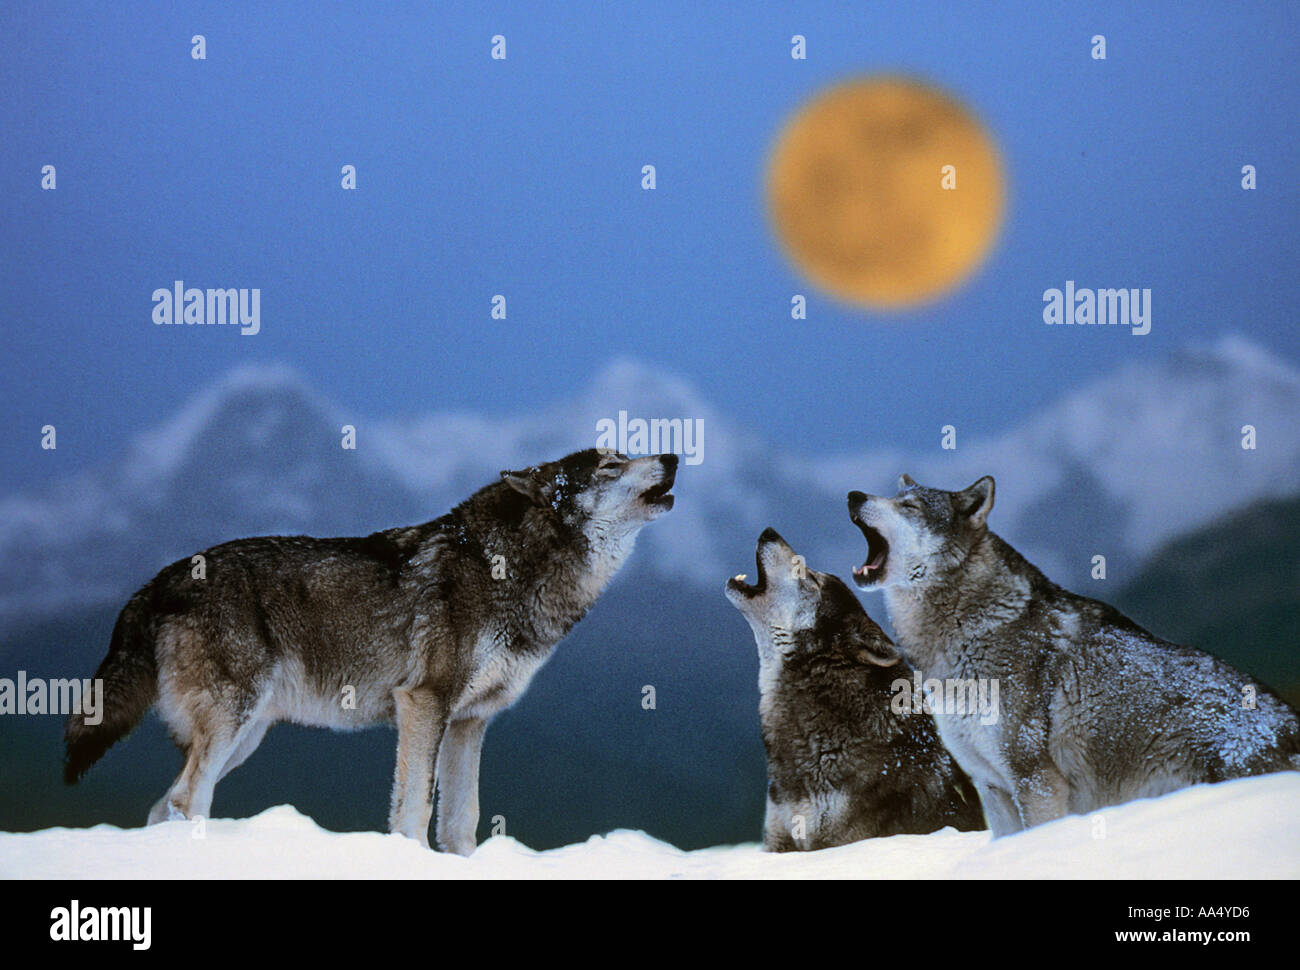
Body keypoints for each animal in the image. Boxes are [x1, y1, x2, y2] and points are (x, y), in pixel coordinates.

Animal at [64, 449, 677, 853]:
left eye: (626, 455)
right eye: (611, 464)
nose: (673, 453)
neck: (509, 569)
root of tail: (157, 579)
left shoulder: (470, 722)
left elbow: (463, 819)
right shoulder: (424, 703)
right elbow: (415, 807)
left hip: (245, 736)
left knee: (162, 806)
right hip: (229, 727)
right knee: (185, 800)